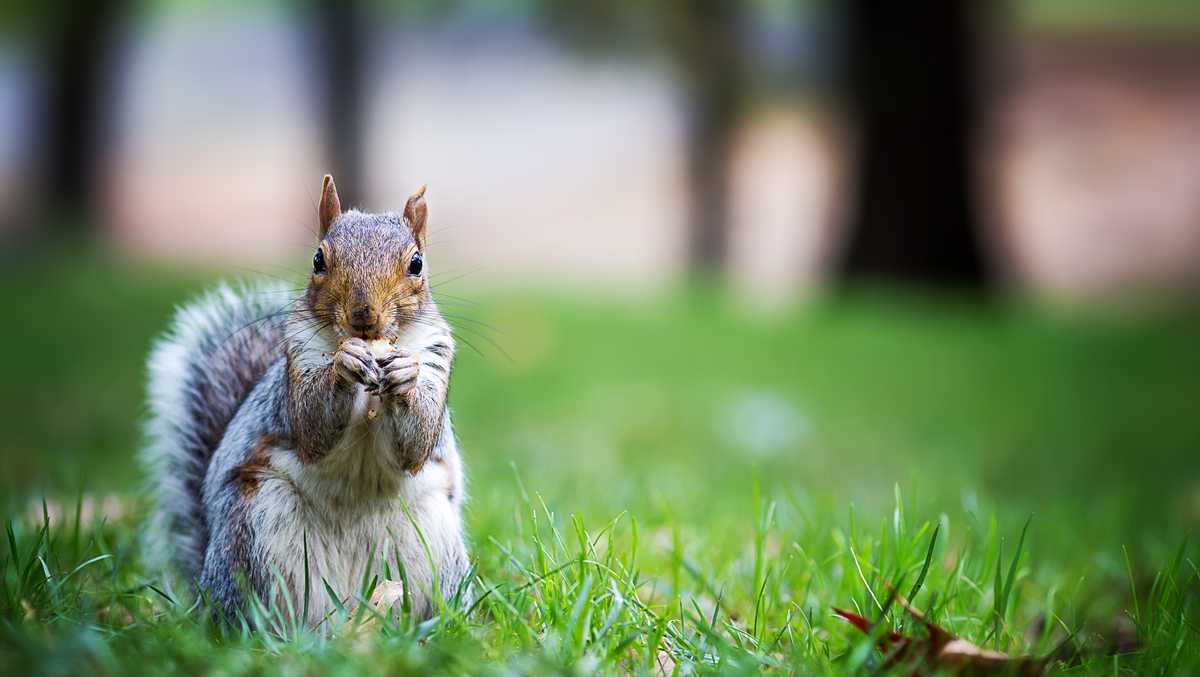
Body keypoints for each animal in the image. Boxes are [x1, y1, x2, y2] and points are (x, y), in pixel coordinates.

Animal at [142, 175, 469, 624]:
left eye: (416, 264)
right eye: (318, 259)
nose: (363, 316)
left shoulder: (436, 357)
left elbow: (417, 443)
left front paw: (405, 374)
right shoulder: (294, 369)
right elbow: (312, 425)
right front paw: (343, 365)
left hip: (432, 544)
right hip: (253, 536)